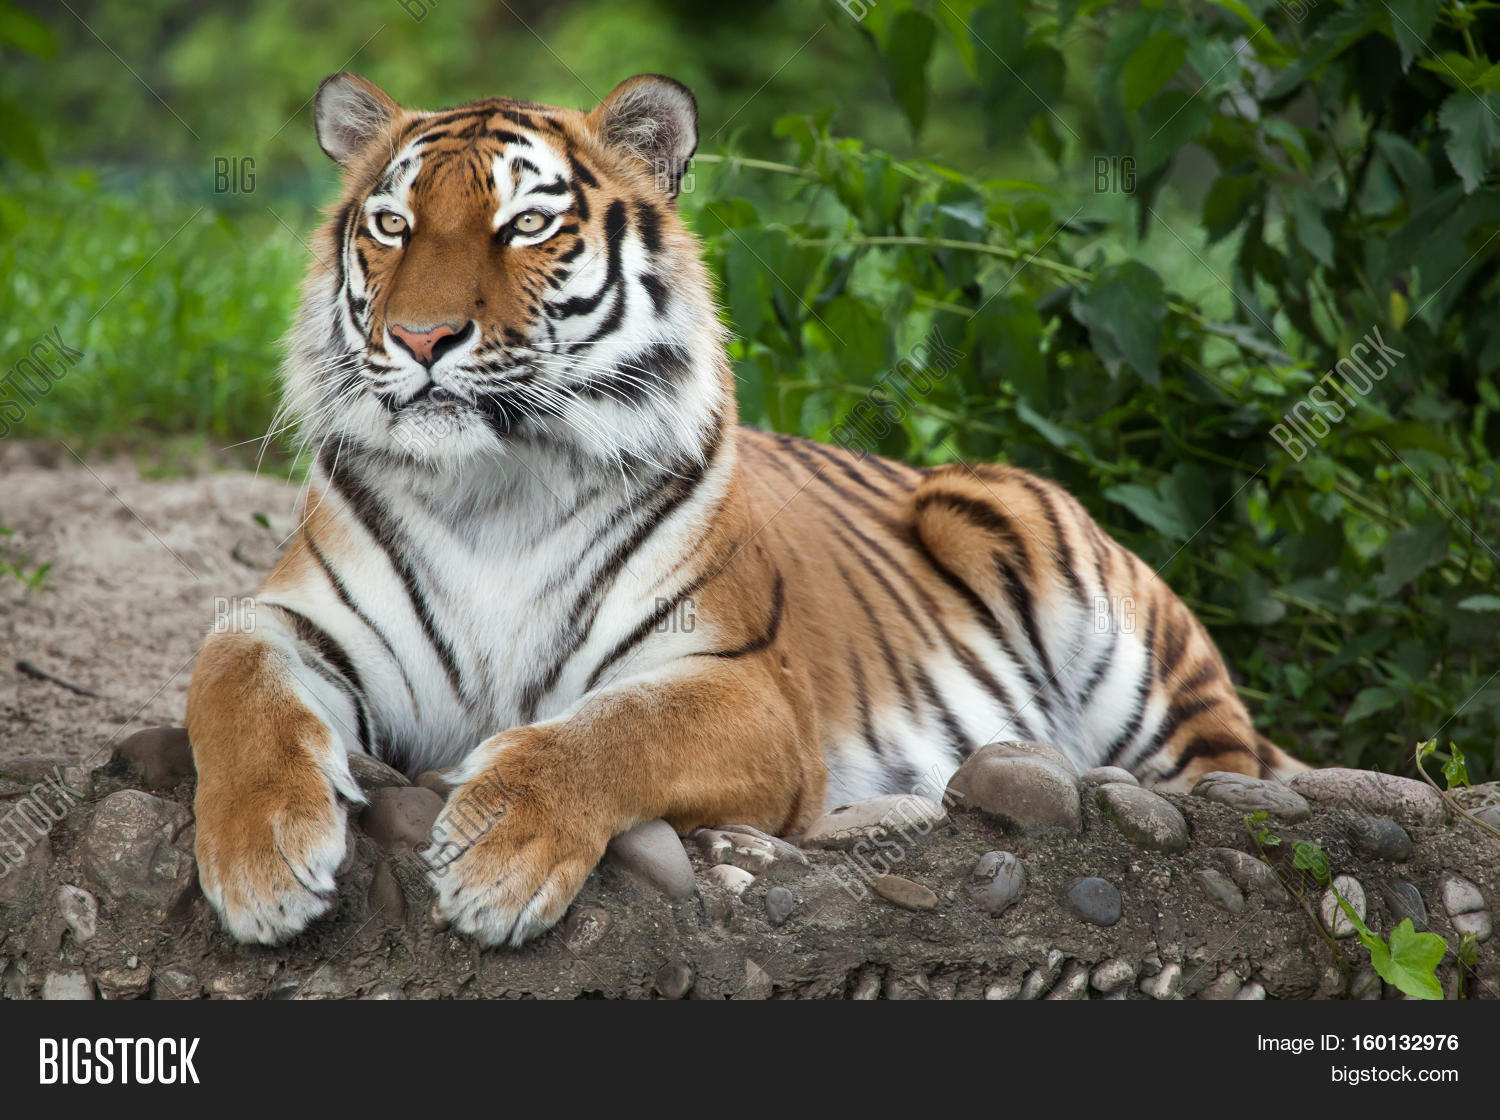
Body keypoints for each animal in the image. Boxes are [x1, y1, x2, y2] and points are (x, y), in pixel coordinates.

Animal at [186, 72, 1307, 947]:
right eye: (393, 225)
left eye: (526, 224)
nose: (420, 338)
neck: (492, 486)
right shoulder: (299, 618)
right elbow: (233, 675)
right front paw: (262, 861)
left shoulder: (746, 685)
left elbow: (614, 731)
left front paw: (498, 851)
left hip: (1044, 559)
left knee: (1233, 770)